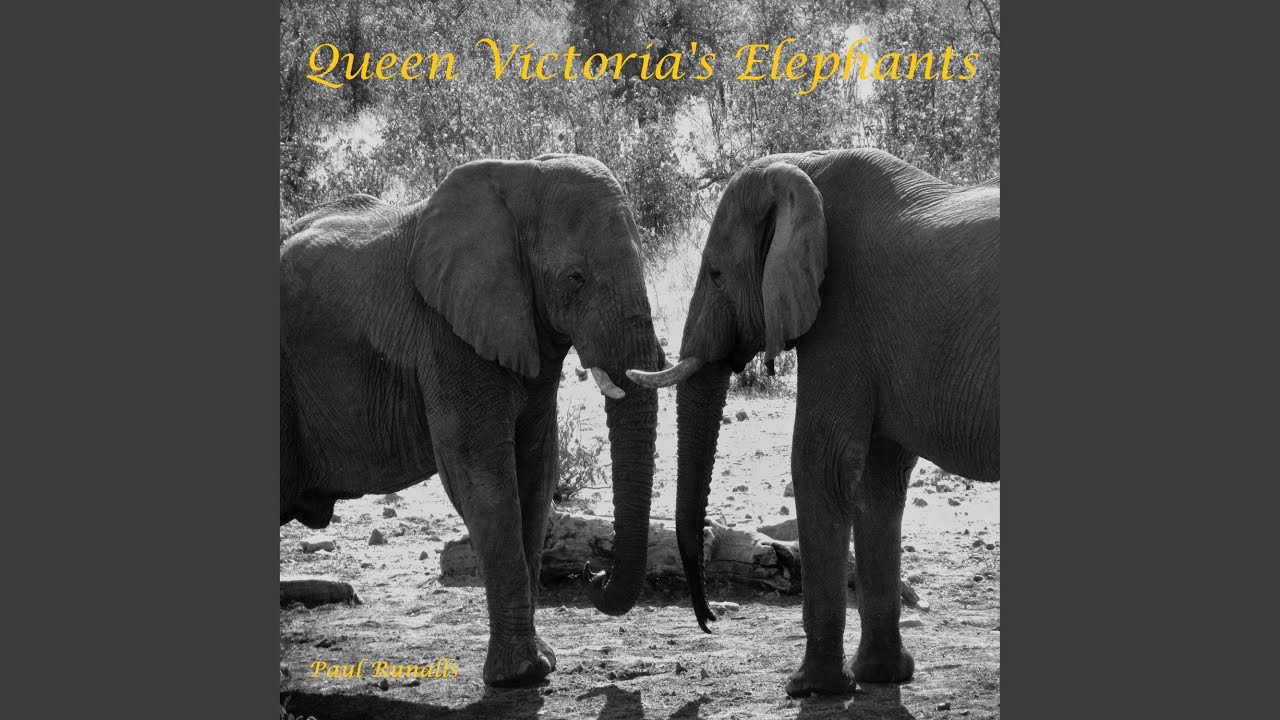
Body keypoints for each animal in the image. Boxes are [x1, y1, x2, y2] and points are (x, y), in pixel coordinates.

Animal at [280, 154, 665, 687]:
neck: (518, 175)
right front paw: (520, 675)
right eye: (576, 278)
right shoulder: (446, 336)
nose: (594, 572)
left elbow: (536, 476)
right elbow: (483, 479)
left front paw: (541, 663)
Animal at [629, 148, 999, 697]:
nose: (709, 621)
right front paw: (880, 677)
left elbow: (820, 464)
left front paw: (810, 687)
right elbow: (878, 481)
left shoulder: (841, 317)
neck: (804, 166)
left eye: (715, 274)